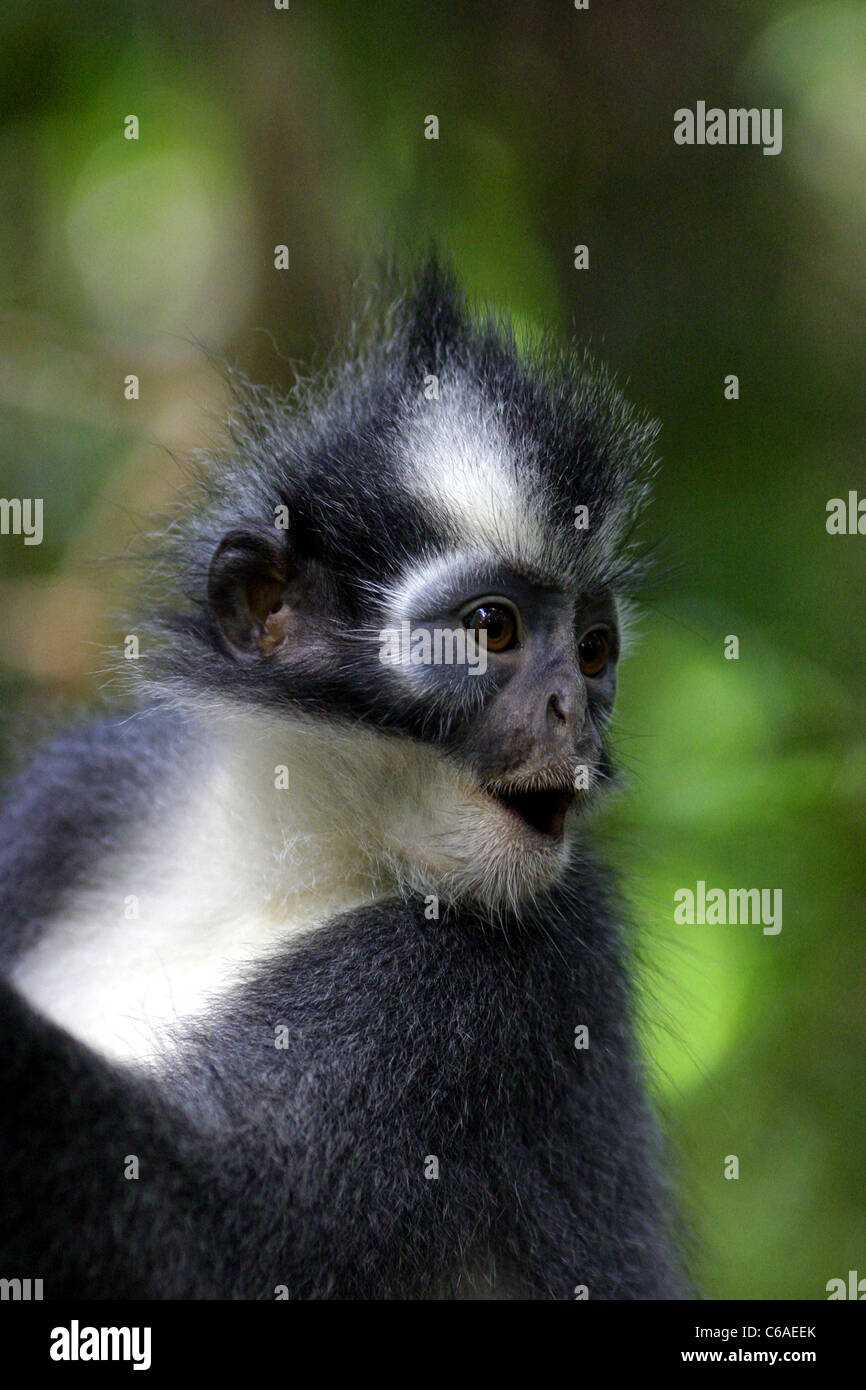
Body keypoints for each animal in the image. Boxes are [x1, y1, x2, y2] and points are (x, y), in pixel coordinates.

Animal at [0, 258, 689, 1300]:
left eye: (594, 651)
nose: (574, 705)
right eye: (492, 629)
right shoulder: (83, 799)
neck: (286, 857)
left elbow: (217, 1240)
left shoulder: (517, 976)